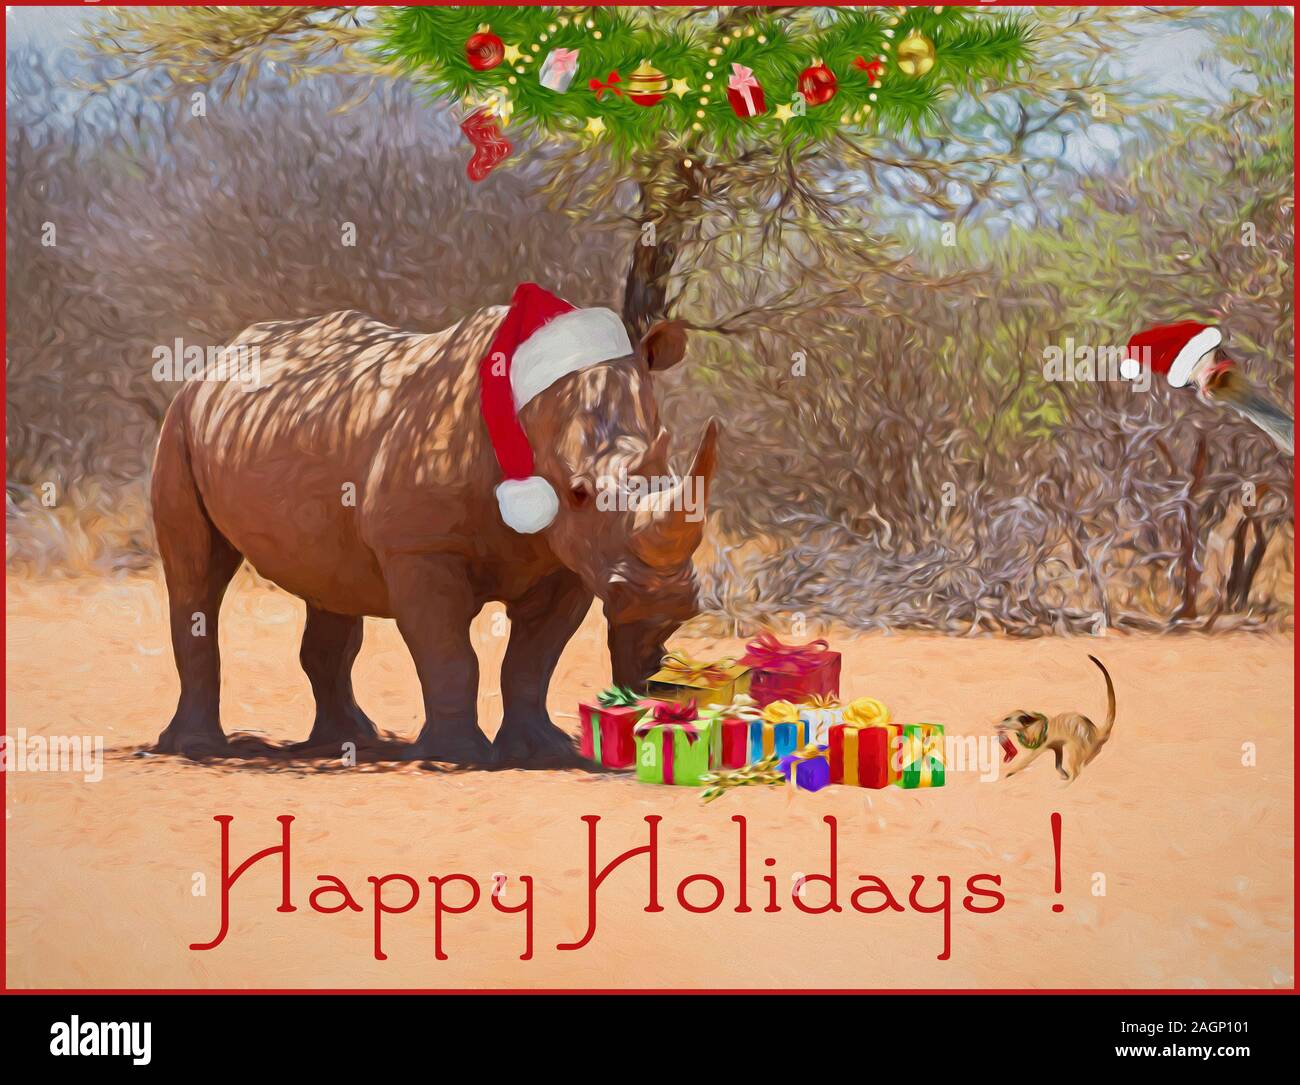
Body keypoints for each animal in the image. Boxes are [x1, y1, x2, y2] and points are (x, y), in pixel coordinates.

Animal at [150, 300, 717, 765]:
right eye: (577, 492)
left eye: (670, 476)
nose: (665, 601)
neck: (527, 422)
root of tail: (217, 361)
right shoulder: (419, 547)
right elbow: (449, 653)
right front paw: (457, 756)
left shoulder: (571, 559)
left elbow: (533, 659)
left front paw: (541, 750)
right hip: (178, 423)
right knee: (197, 577)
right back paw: (198, 749)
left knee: (327, 577)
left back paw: (351, 741)